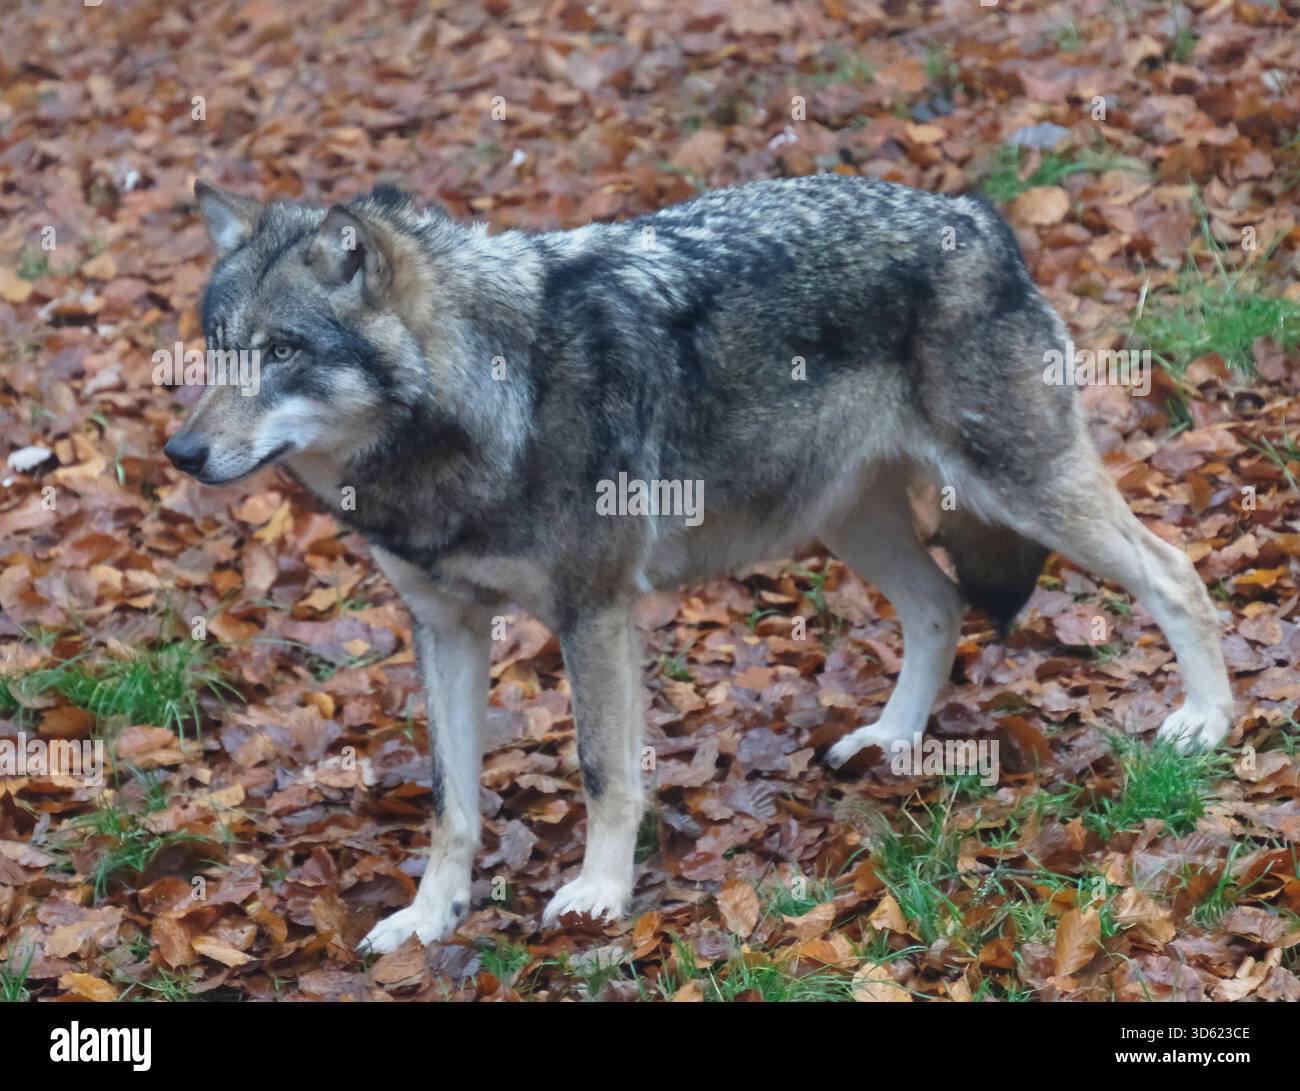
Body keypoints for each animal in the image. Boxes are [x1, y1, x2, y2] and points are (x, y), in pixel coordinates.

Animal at [167, 174, 1234, 953]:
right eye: (217, 349)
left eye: (282, 350)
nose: (180, 451)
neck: (487, 400)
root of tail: (981, 217)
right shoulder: (444, 626)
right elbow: (450, 800)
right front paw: (429, 919)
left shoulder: (594, 611)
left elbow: (604, 769)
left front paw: (598, 894)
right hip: (847, 522)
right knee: (938, 606)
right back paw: (891, 740)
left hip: (1024, 492)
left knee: (1174, 571)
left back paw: (1206, 723)